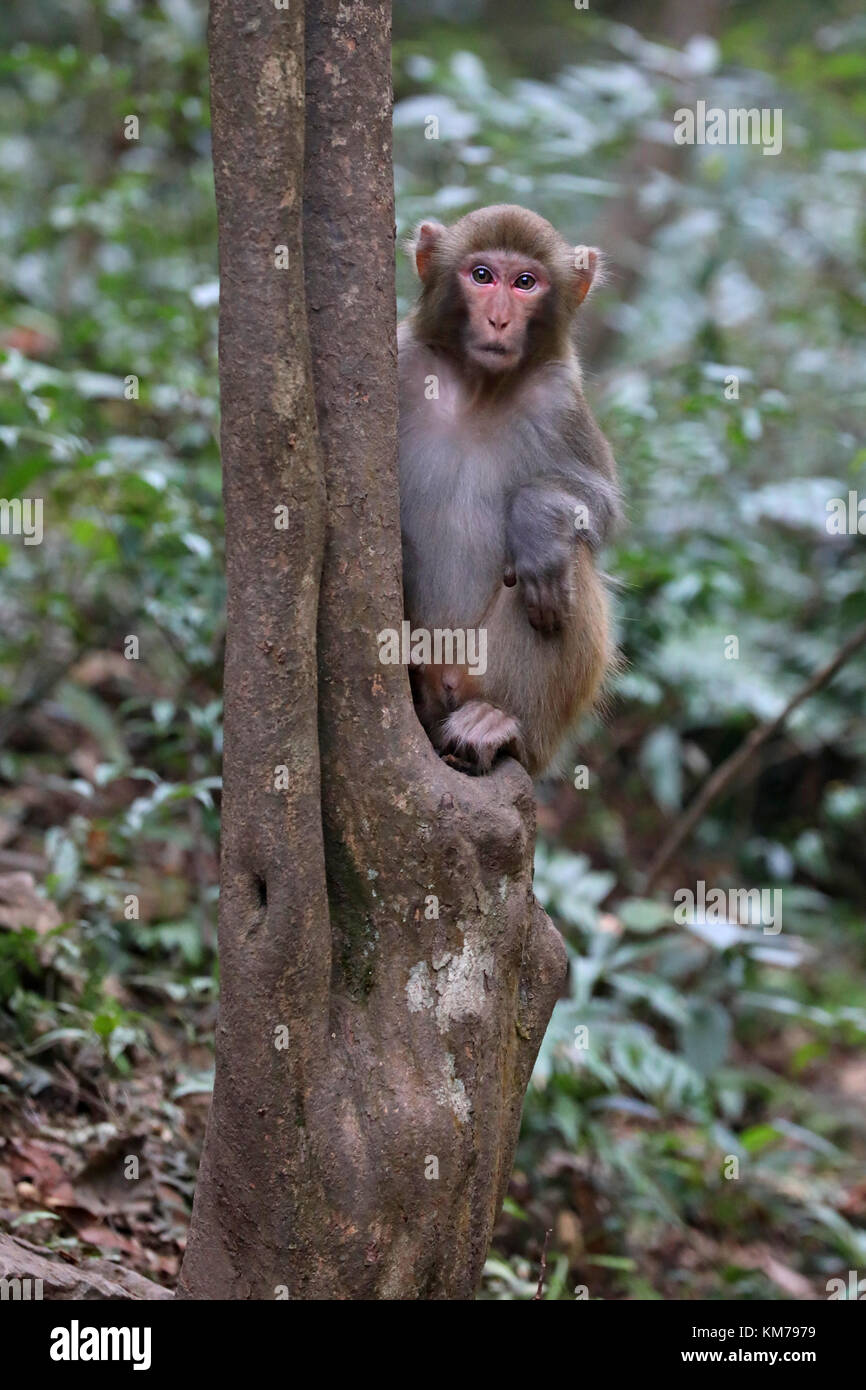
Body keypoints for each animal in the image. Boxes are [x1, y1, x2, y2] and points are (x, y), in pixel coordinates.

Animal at [398, 203, 620, 777]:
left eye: (525, 283)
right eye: (482, 276)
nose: (499, 320)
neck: (479, 389)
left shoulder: (560, 398)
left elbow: (600, 506)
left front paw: (536, 521)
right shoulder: (404, 361)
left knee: (567, 564)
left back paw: (498, 728)